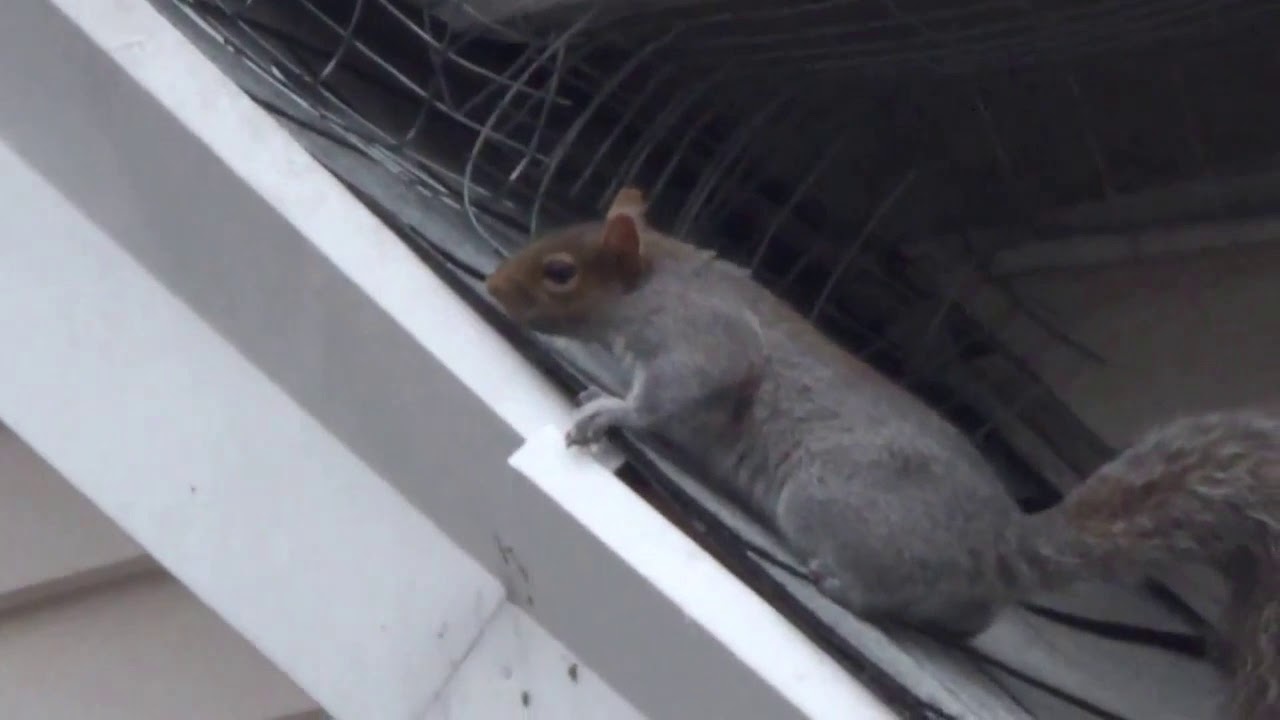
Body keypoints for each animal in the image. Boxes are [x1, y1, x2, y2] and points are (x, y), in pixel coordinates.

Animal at [485, 187, 1280, 719]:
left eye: (560, 271)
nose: (492, 285)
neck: (662, 277)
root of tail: (1003, 548)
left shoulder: (699, 336)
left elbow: (679, 388)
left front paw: (609, 412)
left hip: (832, 502)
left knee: (886, 594)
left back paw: (837, 584)